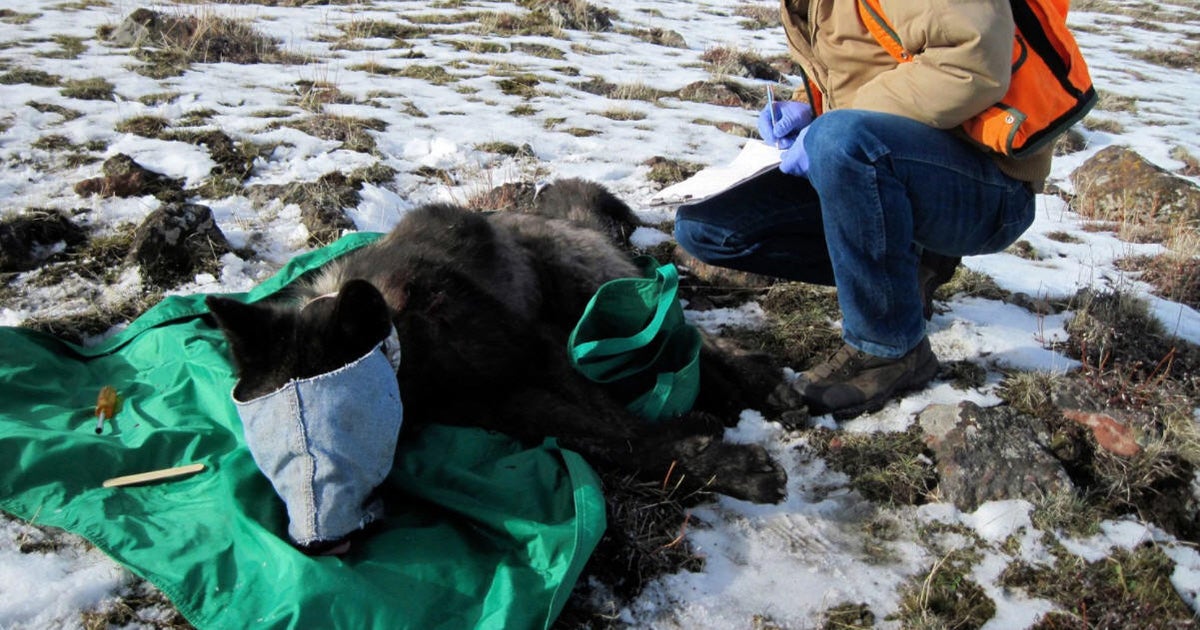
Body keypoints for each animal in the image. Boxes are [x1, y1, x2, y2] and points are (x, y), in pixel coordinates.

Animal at [206, 180, 789, 539]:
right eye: (268, 455)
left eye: (343, 431)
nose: (318, 545)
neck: (408, 339)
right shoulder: (508, 405)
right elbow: (607, 441)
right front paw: (700, 445)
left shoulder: (540, 353)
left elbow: (622, 430)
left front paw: (719, 462)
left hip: (585, 285)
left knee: (689, 333)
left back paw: (759, 379)